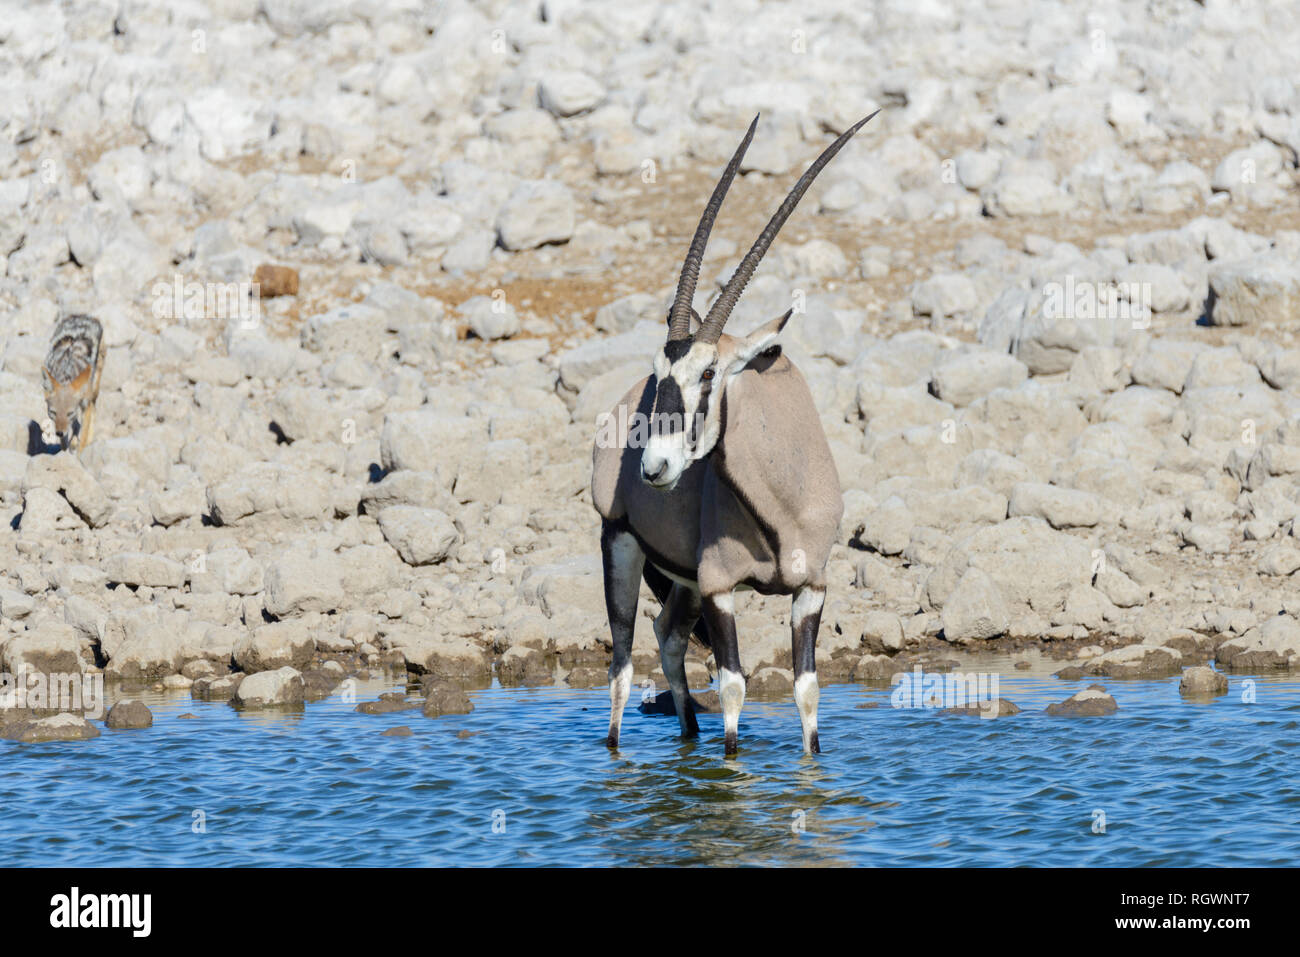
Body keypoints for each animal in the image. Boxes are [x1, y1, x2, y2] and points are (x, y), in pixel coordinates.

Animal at [592, 110, 879, 755]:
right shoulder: (720, 587)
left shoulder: (811, 587)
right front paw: (726, 764)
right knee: (621, 665)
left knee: (668, 637)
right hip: (620, 544)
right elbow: (733, 688)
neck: (780, 497)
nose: (654, 467)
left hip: (681, 582)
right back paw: (618, 749)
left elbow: (806, 691)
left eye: (709, 373)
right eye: (659, 371)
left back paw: (687, 736)